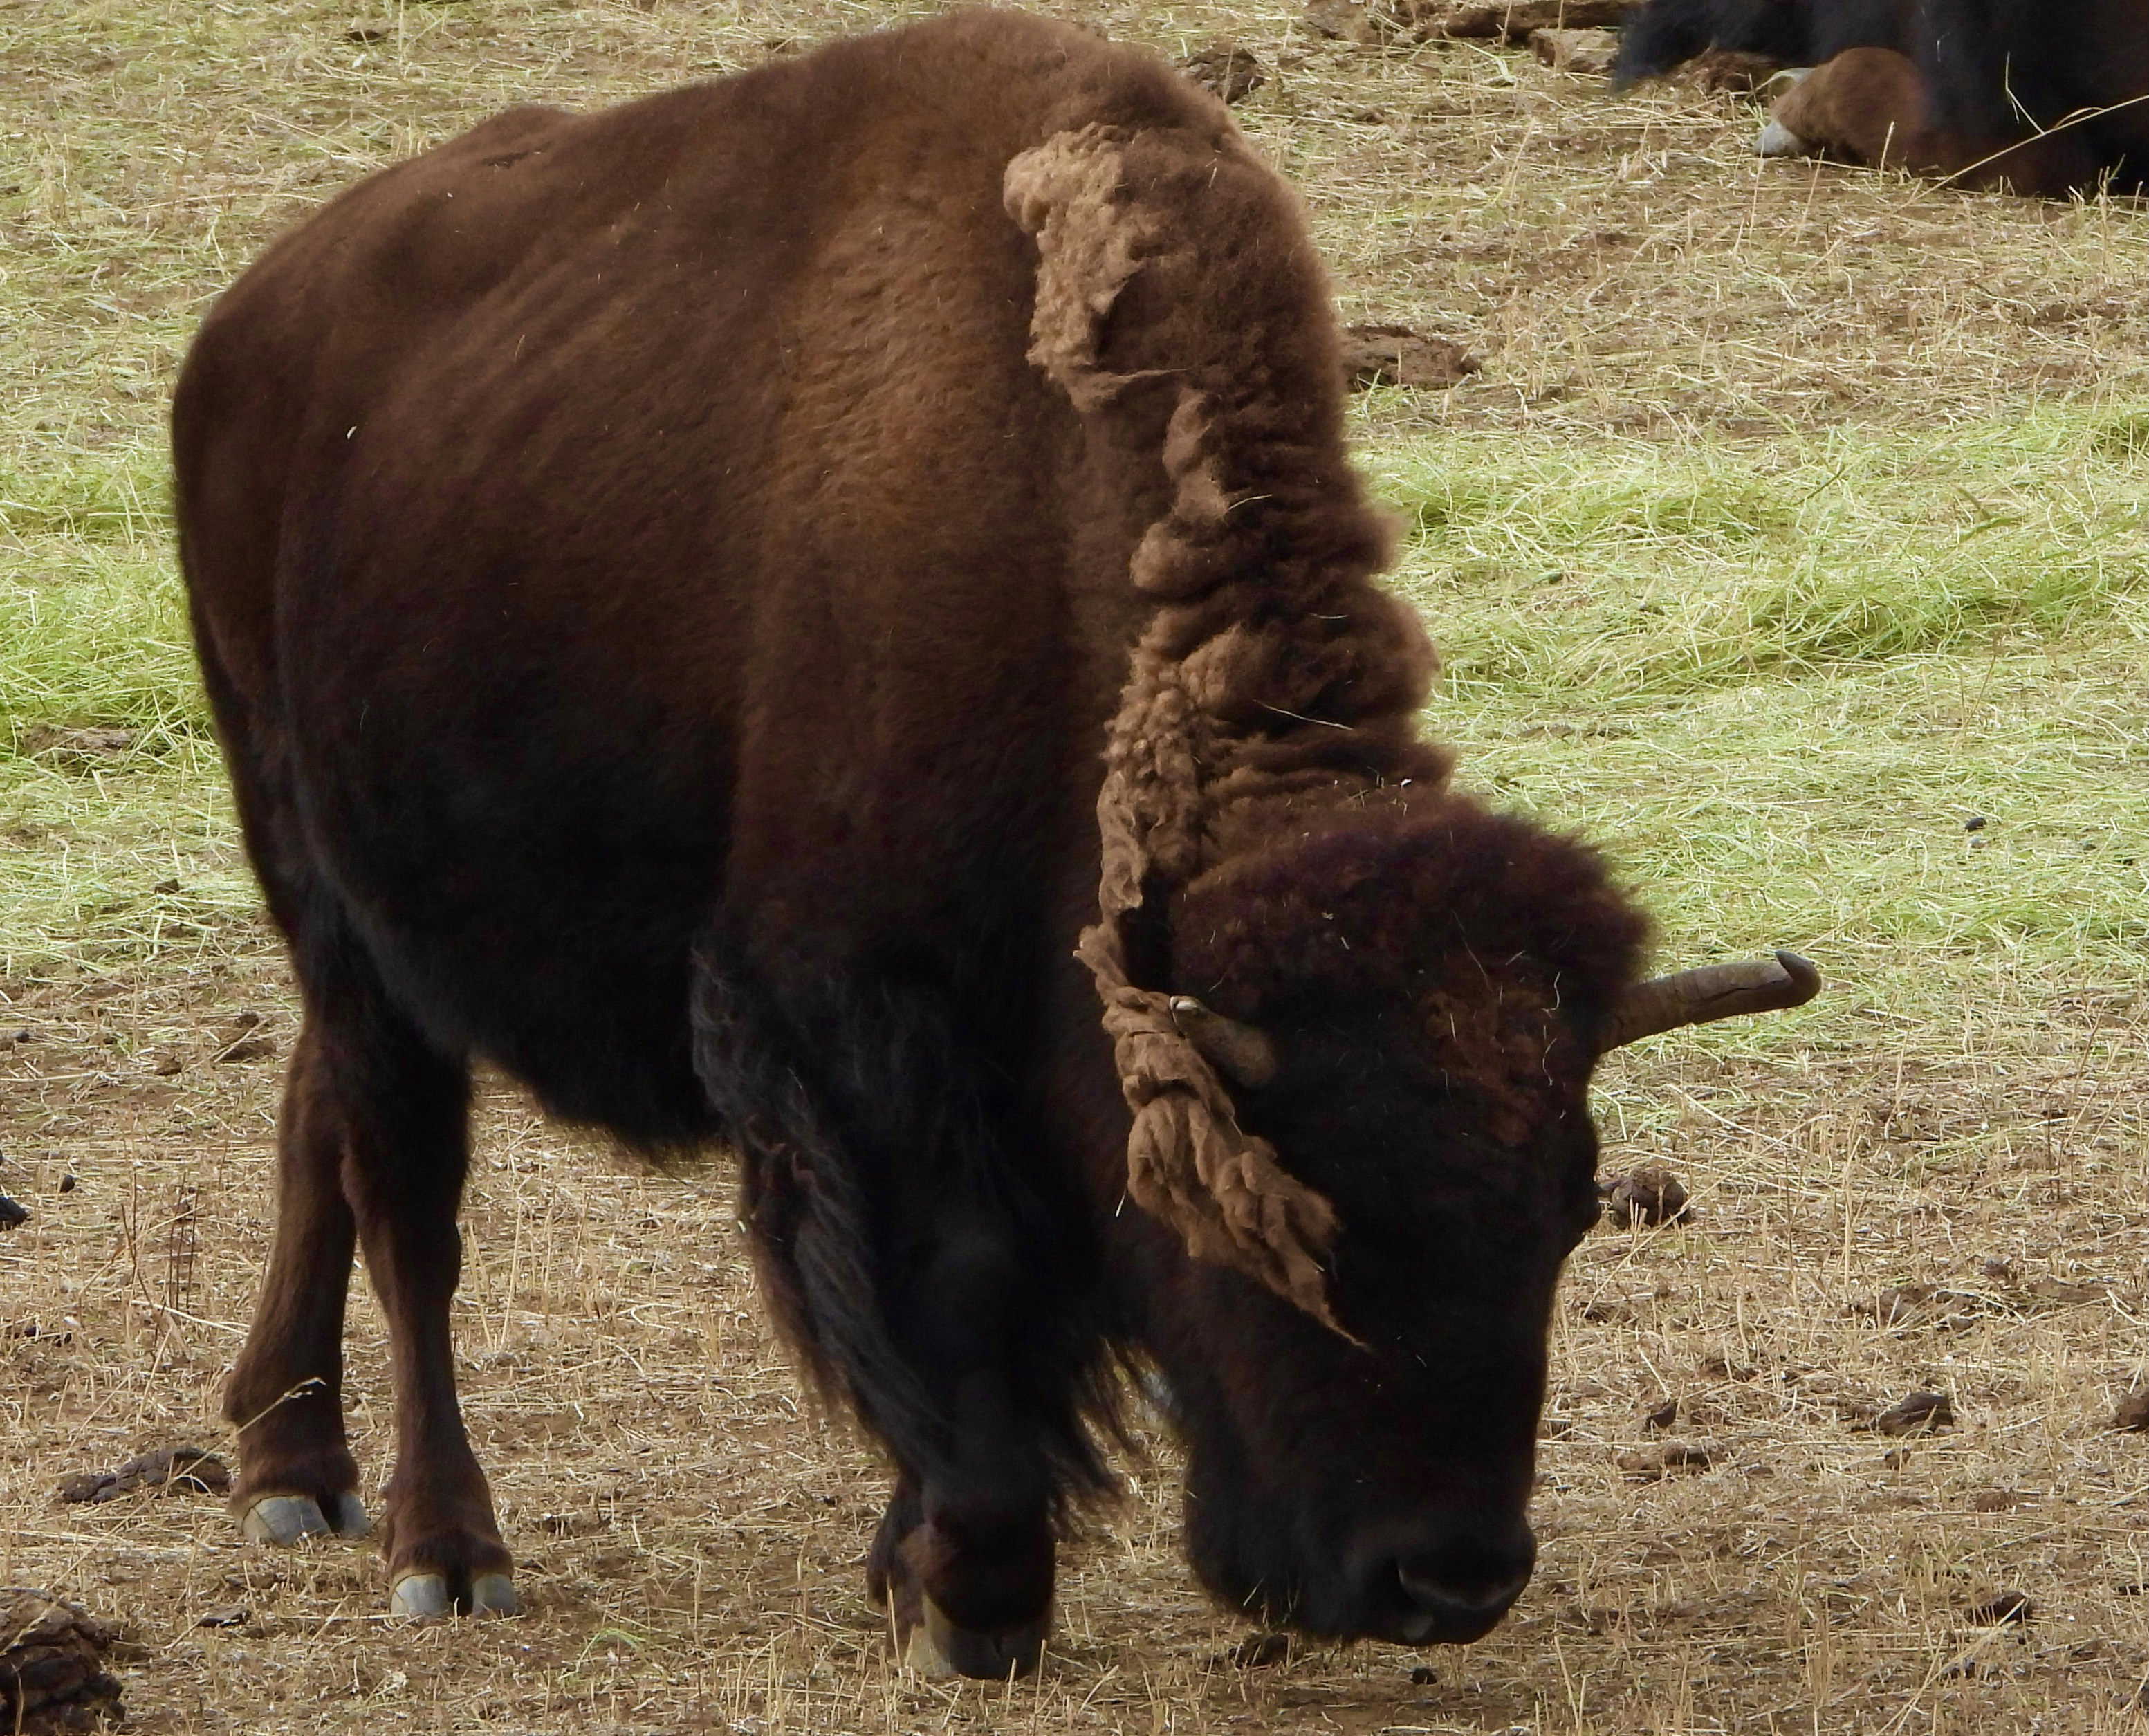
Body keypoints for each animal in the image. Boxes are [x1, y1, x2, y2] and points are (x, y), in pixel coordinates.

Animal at [173, 9, 1817, 1678]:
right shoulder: (853, 1021)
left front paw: (913, 1570)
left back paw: (289, 1467)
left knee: (318, 1110)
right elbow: (954, 1283)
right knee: (406, 1192)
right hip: (315, 868)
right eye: (1274, 1226)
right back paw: (445, 1551)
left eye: (1570, 1209)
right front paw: (976, 1597)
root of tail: (251, 319)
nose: (1448, 1582)